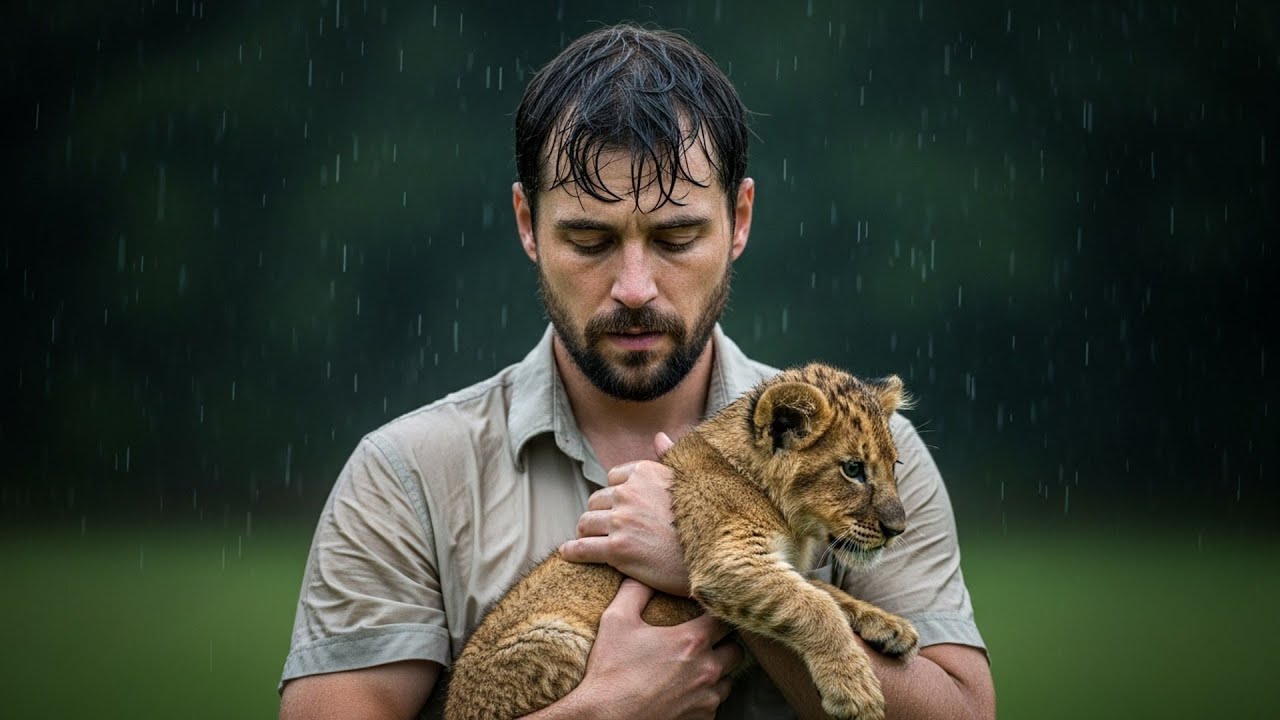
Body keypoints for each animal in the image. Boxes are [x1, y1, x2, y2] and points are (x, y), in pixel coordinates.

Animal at [444, 363, 920, 720]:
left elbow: (824, 590)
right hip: (556, 640)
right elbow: (815, 606)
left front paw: (888, 626)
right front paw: (854, 690)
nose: (898, 529)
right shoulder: (726, 558)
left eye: (894, 465)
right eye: (853, 469)